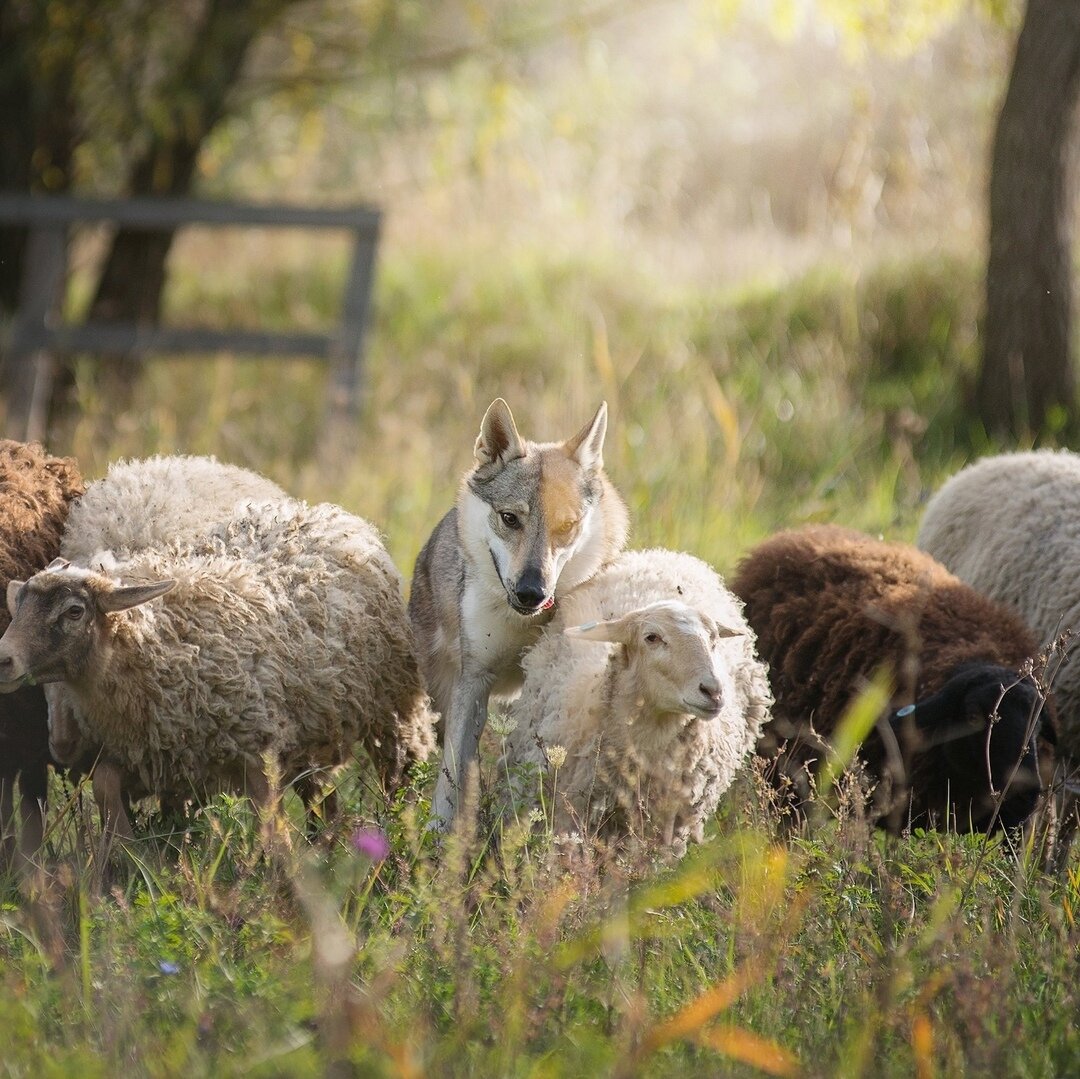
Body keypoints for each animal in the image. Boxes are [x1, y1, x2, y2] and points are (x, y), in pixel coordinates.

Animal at [1, 496, 438, 842]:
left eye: (74, 611)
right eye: (17, 606)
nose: (3, 658)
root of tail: (323, 513)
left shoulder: (256, 750)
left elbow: (274, 835)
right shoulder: (146, 756)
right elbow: (108, 791)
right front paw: (126, 857)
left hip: (394, 711)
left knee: (399, 783)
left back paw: (402, 842)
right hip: (313, 731)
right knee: (323, 800)